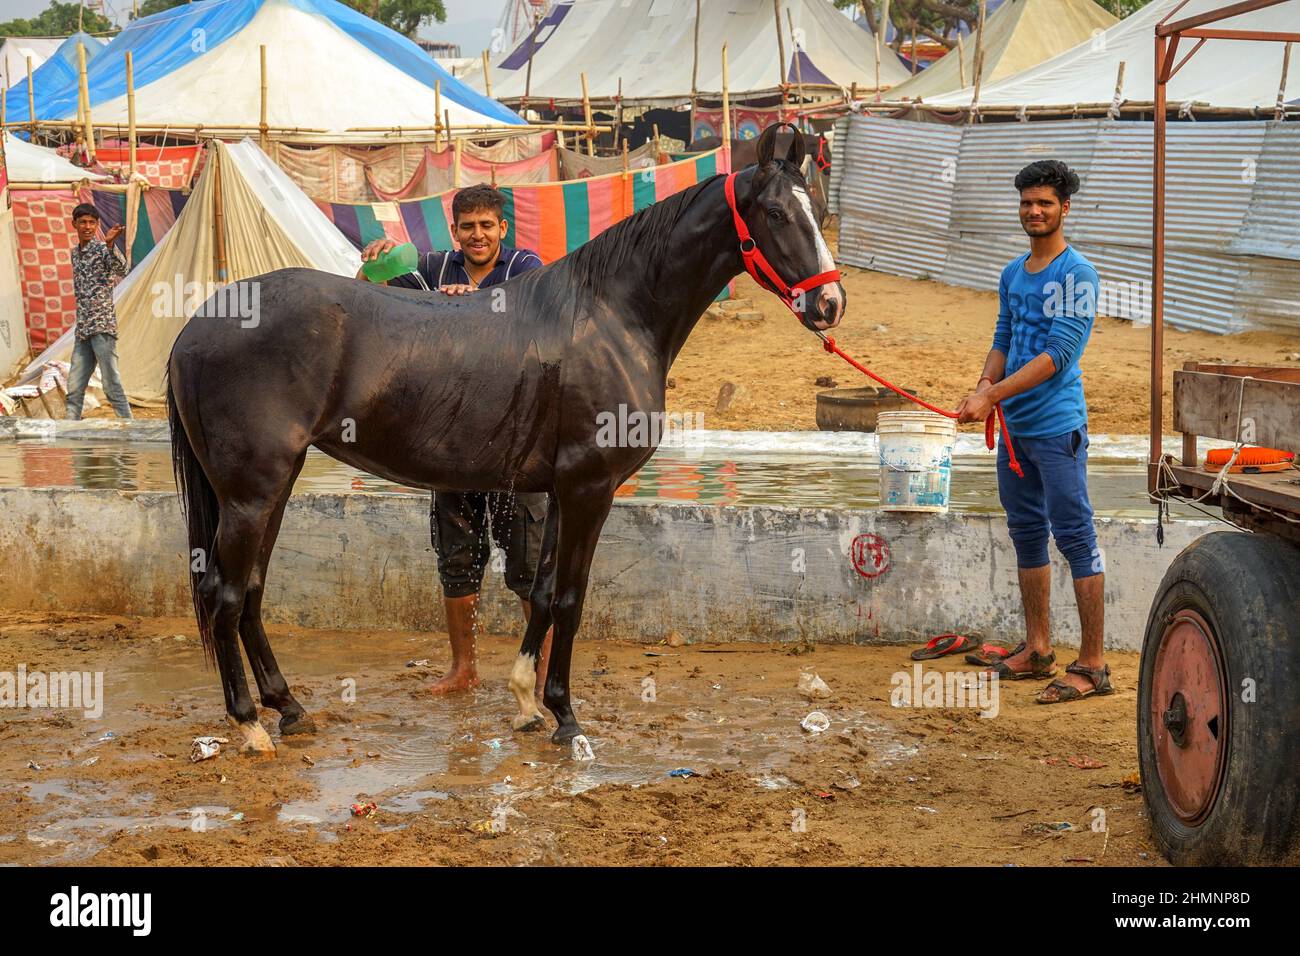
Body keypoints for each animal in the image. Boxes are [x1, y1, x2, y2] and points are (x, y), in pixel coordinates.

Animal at [166, 124, 846, 755]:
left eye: (816, 205)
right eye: (777, 213)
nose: (830, 304)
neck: (613, 313)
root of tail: (195, 327)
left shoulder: (560, 490)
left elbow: (541, 592)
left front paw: (525, 703)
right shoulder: (590, 488)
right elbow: (570, 598)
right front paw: (566, 717)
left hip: (272, 490)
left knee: (251, 594)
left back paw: (289, 708)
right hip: (252, 495)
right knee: (225, 595)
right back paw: (250, 725)